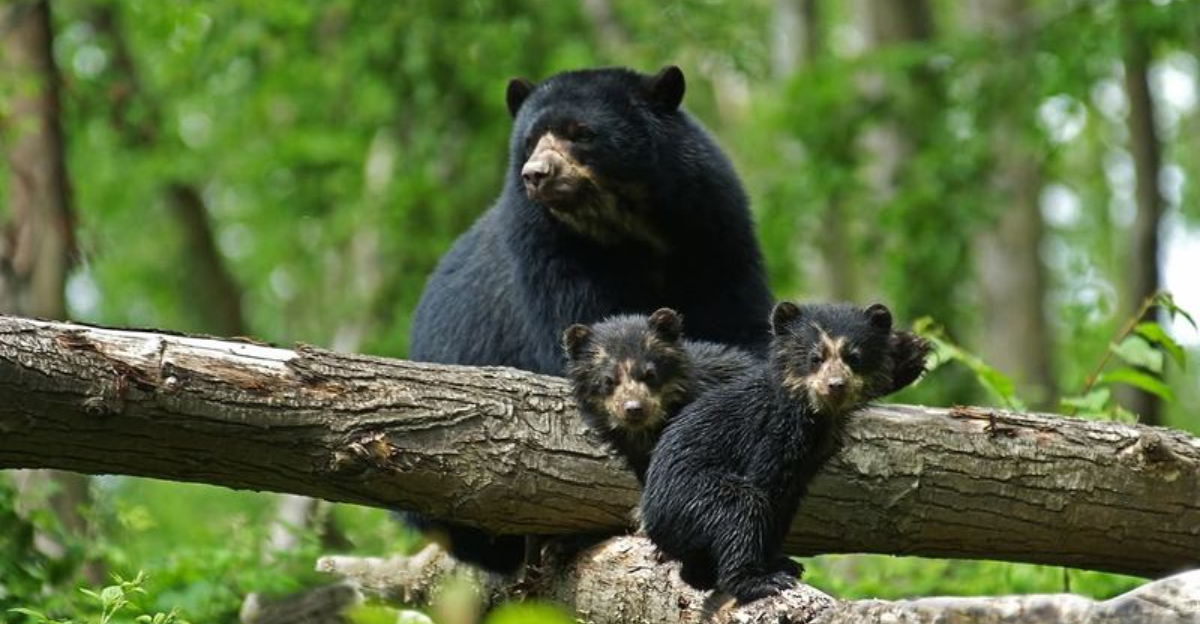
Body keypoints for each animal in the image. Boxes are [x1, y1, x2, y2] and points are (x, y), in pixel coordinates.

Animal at [640, 302, 930, 603]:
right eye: (816, 358)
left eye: (854, 357)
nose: (835, 385)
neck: (816, 414)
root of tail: (652, 520)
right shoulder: (775, 433)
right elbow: (767, 486)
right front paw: (771, 567)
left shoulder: (812, 459)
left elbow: (788, 503)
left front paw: (782, 560)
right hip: (691, 496)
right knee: (741, 507)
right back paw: (756, 582)